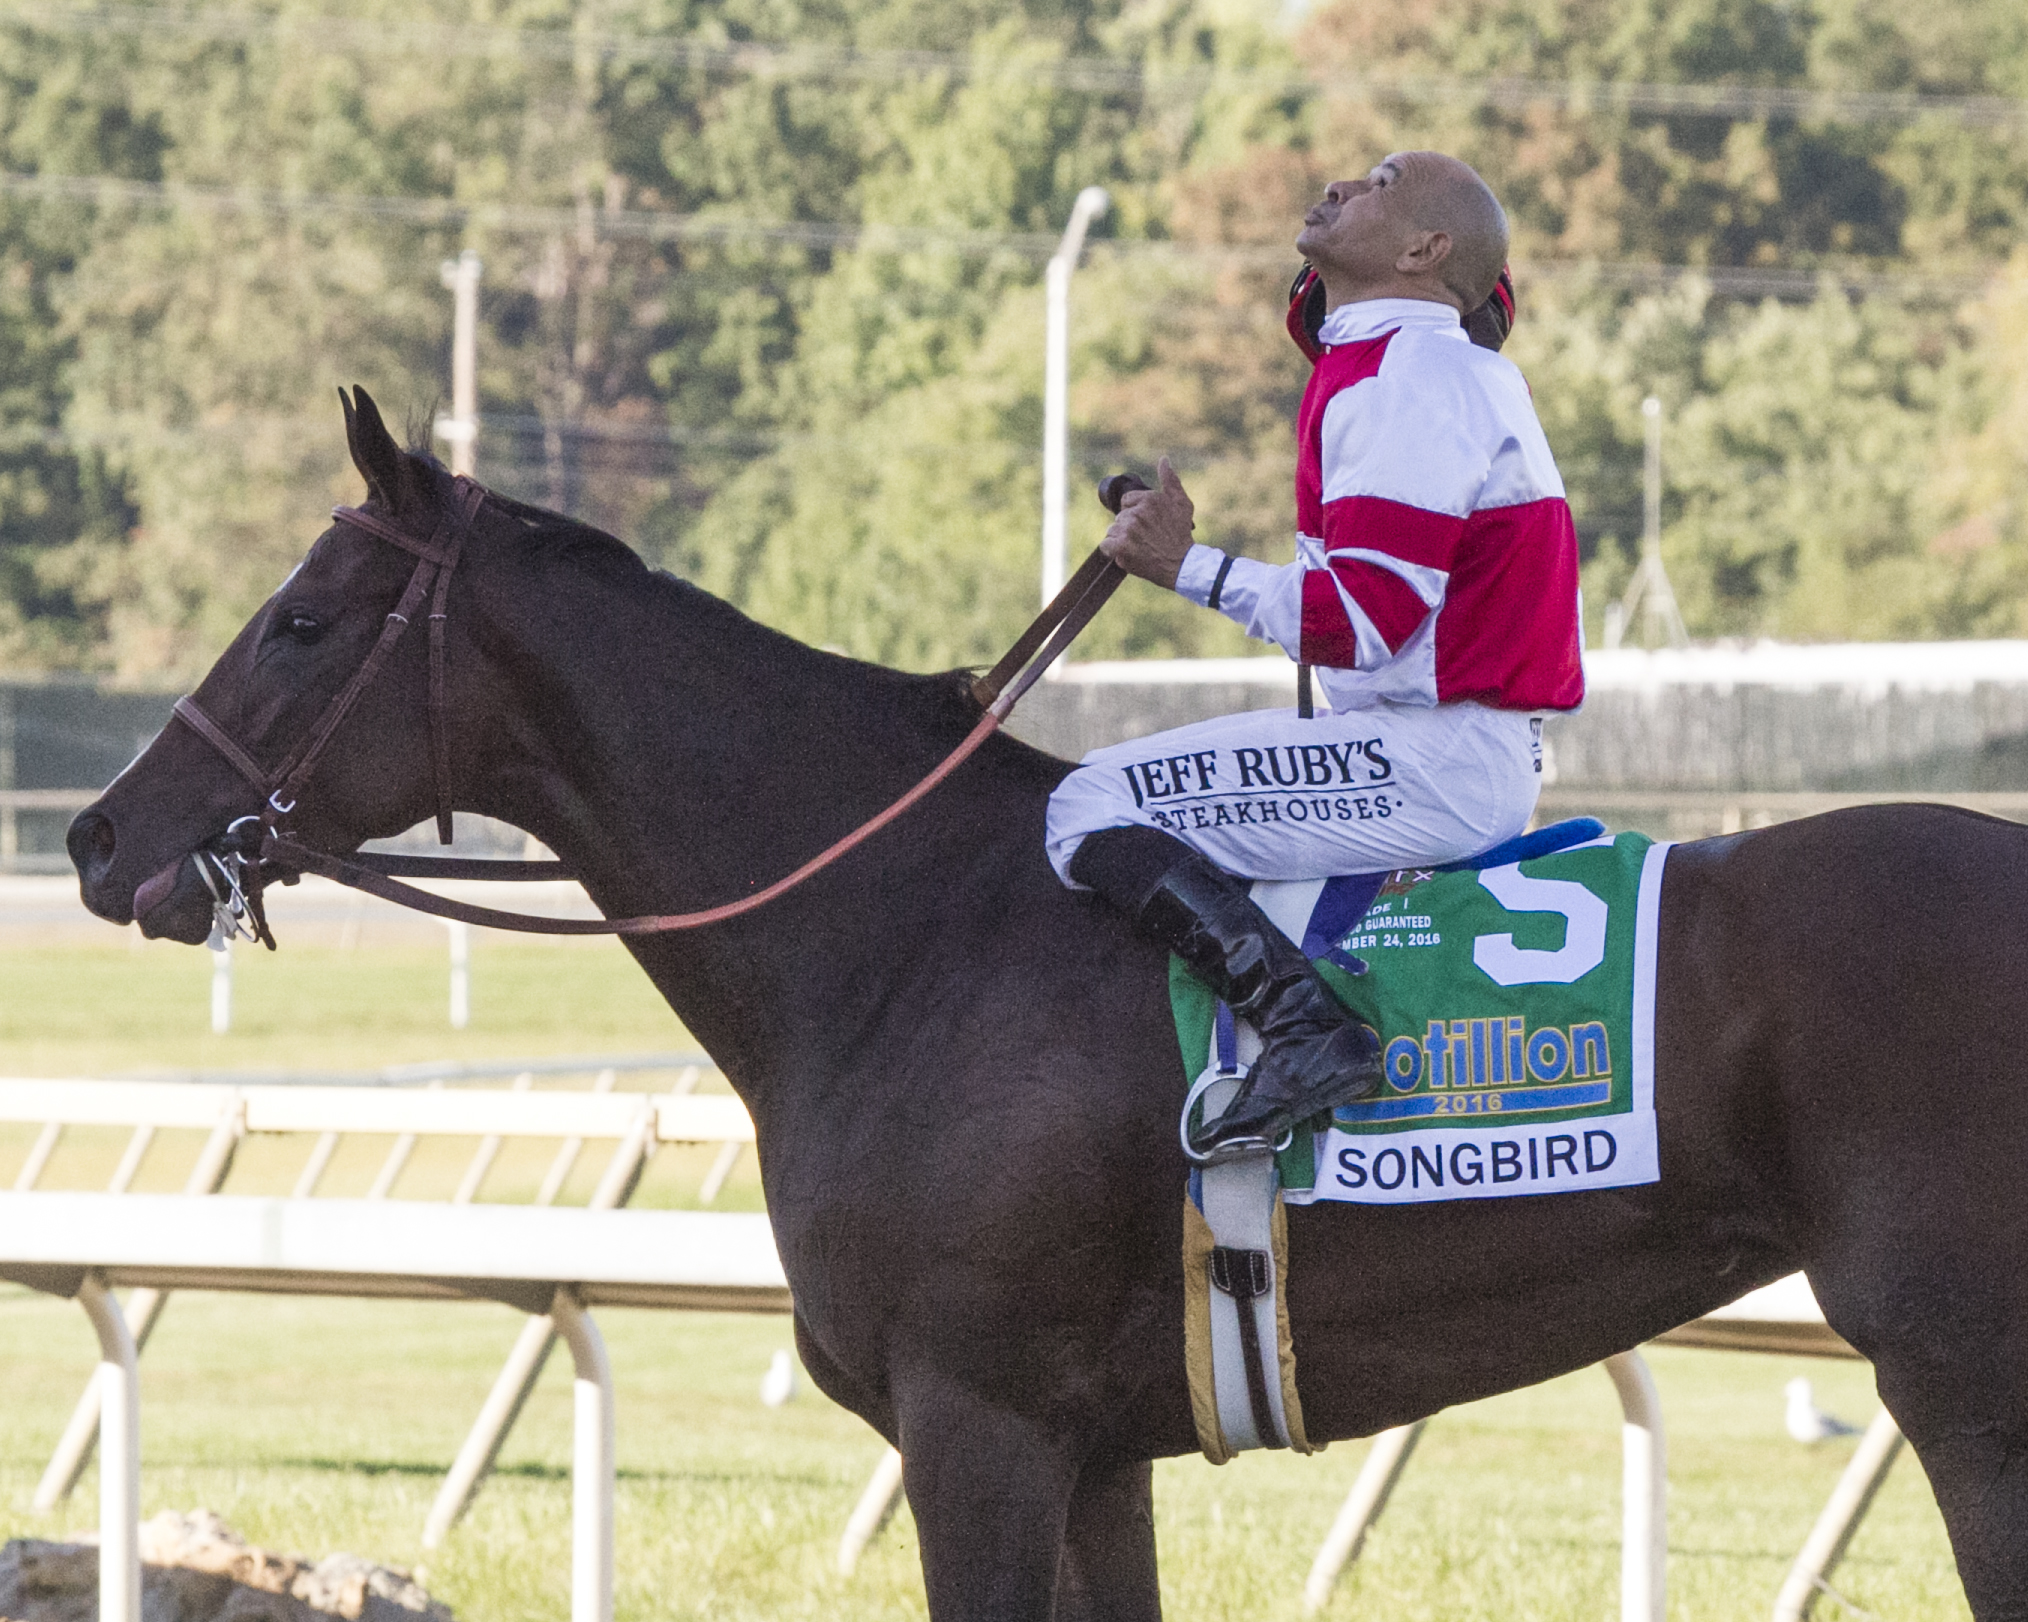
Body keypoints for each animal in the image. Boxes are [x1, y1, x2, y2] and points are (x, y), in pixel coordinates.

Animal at [66, 389, 2028, 1619]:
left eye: (302, 620)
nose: (99, 841)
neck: (891, 926)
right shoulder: (1100, 1453)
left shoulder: (979, 1424)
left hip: (1956, 1369)